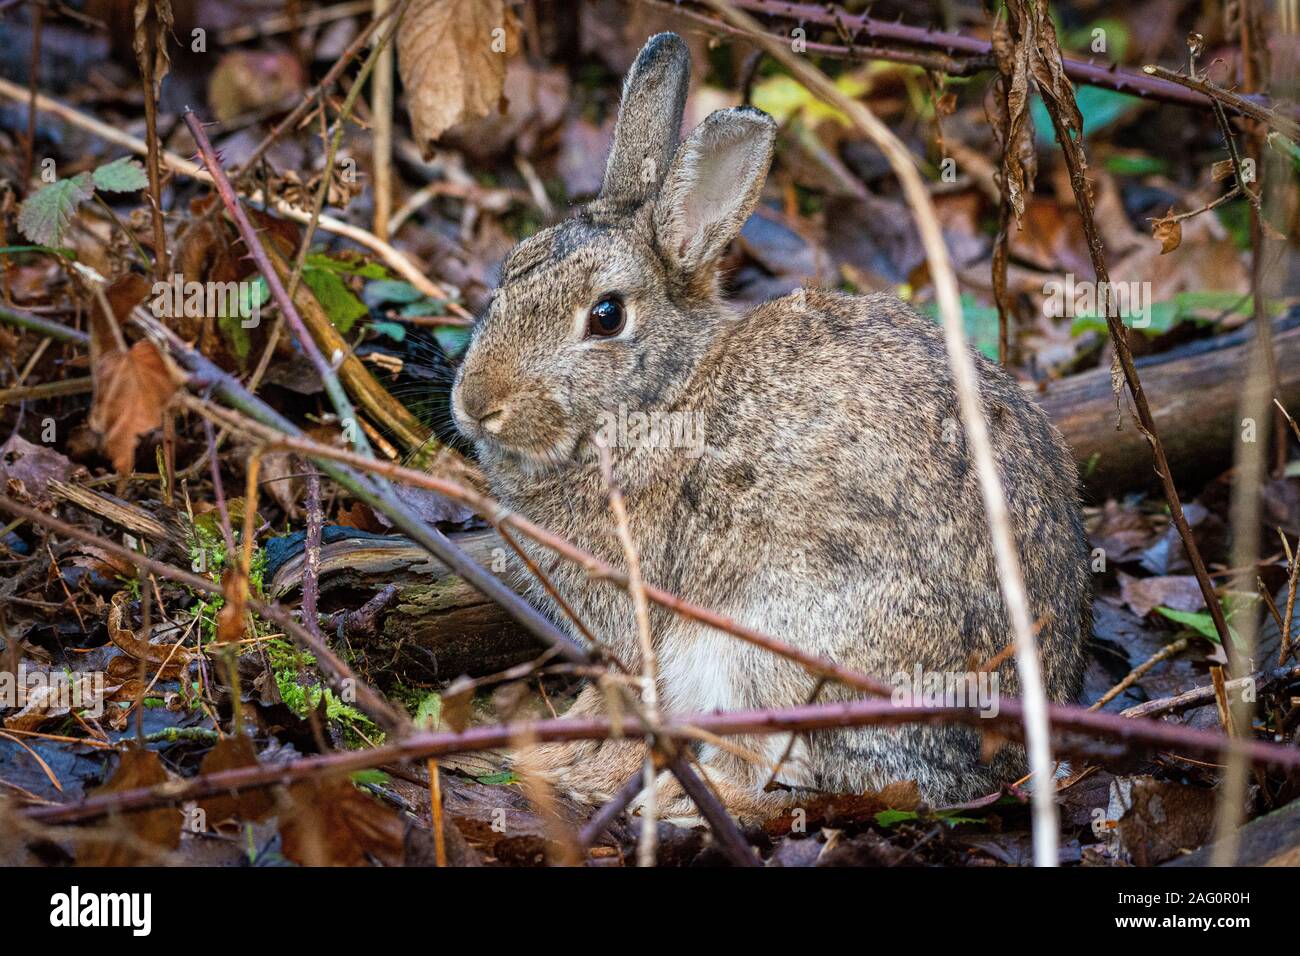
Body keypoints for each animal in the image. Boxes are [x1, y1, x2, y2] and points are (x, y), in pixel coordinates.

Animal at [450, 32, 1091, 824]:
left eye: (606, 317)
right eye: (511, 269)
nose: (477, 402)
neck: (665, 398)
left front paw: (566, 750)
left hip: (770, 648)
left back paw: (671, 799)